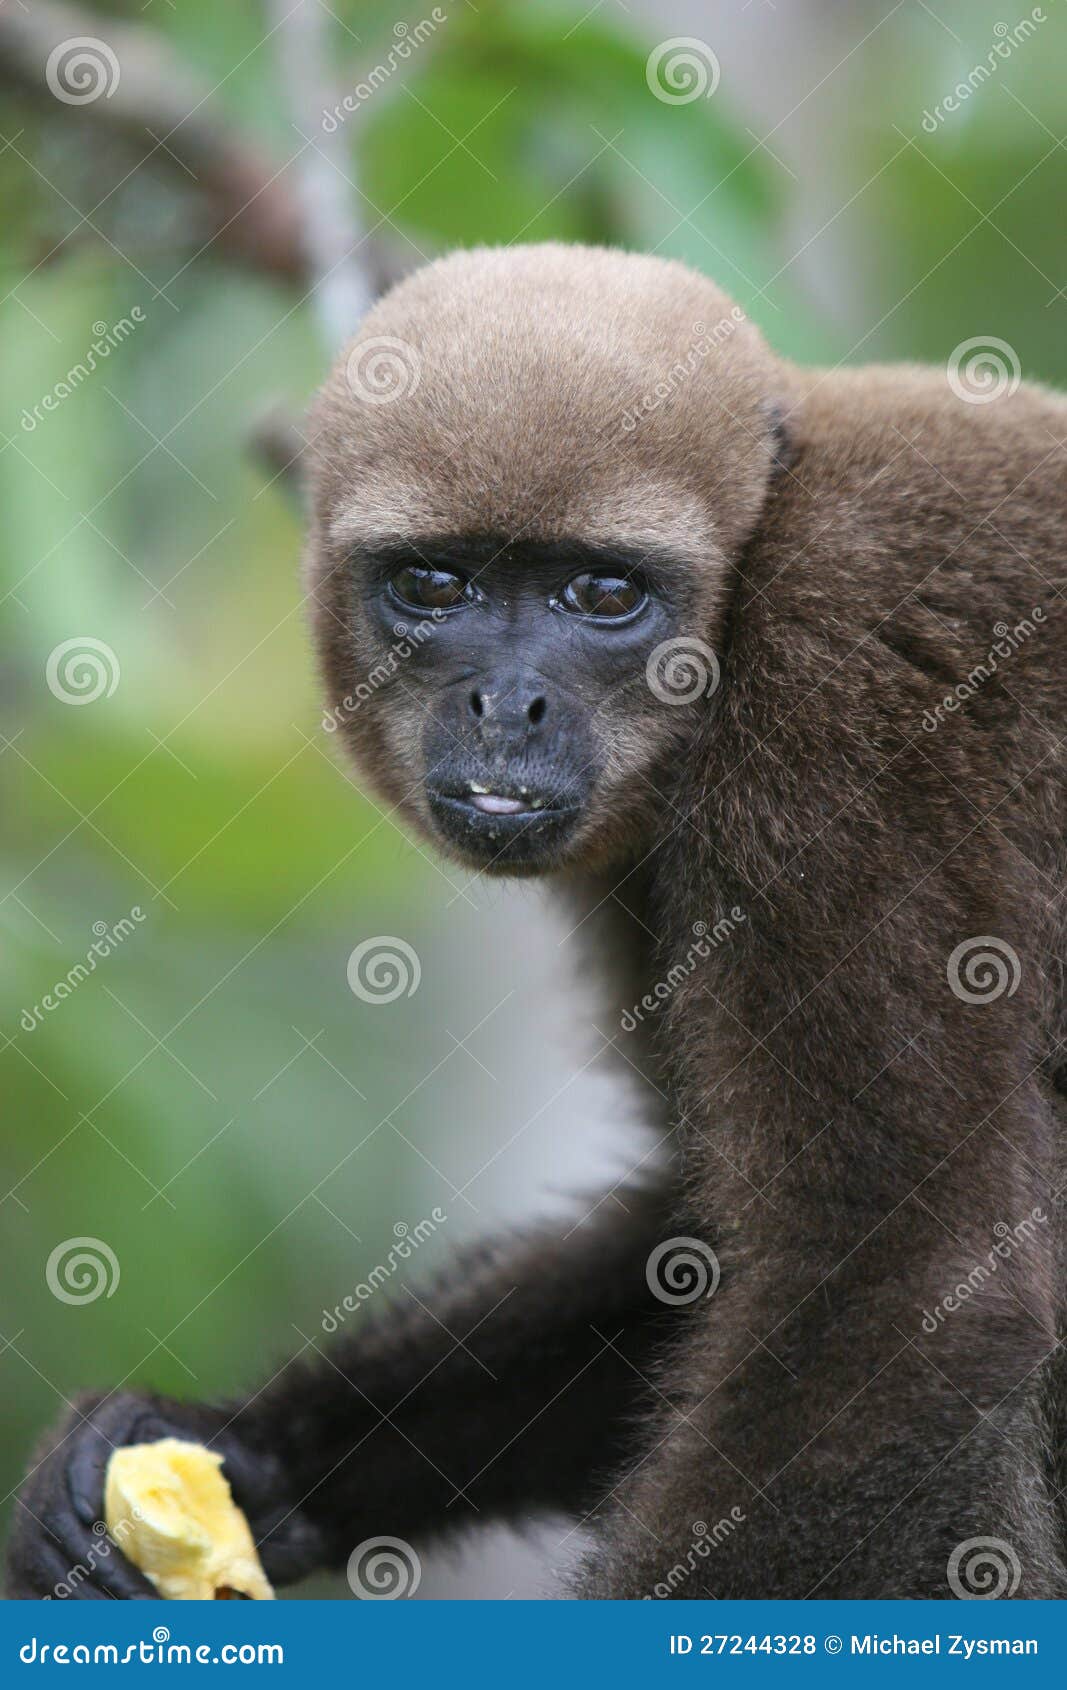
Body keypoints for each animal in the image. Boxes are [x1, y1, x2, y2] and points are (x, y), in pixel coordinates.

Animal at [7, 242, 1067, 1601]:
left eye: (601, 592)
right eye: (432, 584)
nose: (506, 705)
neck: (759, 545)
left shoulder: (834, 704)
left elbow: (902, 1284)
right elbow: (690, 1240)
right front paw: (245, 1453)